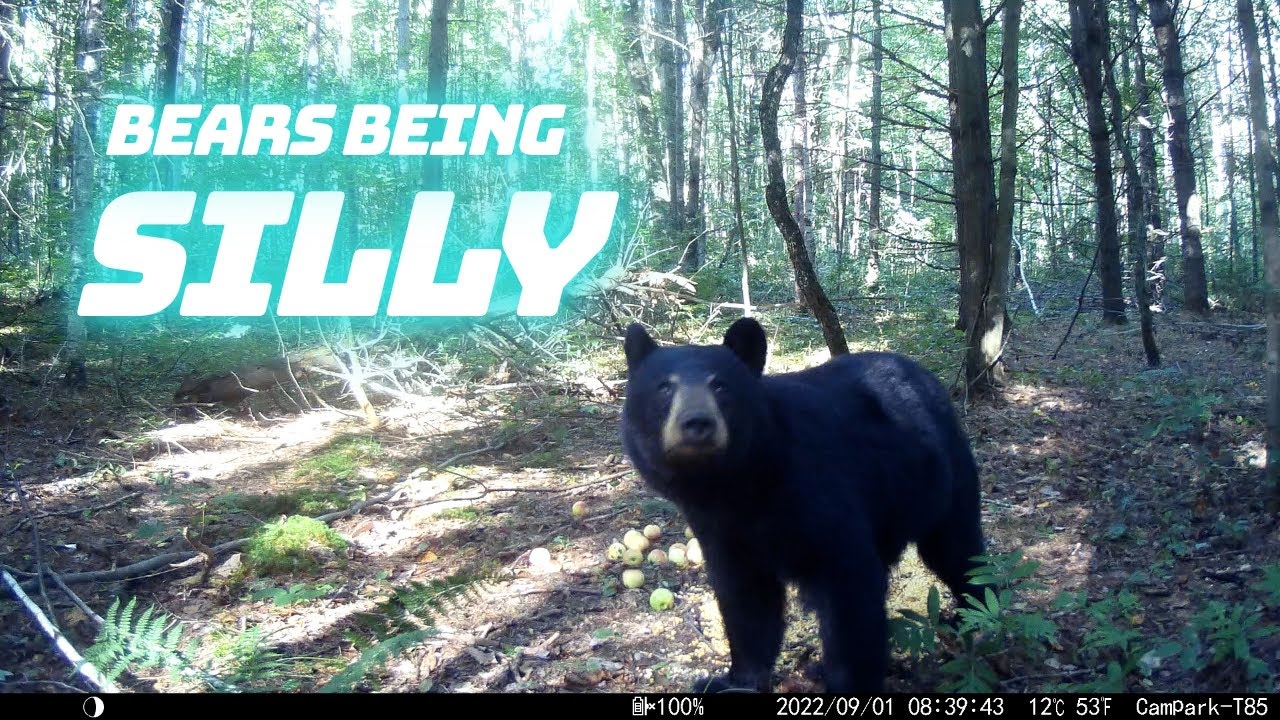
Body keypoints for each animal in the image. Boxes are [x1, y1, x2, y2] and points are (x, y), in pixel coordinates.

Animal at [619, 317, 988, 694]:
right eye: (664, 387)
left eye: (720, 385)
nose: (697, 422)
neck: (740, 485)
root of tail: (926, 376)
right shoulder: (720, 529)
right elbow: (745, 596)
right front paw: (733, 680)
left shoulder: (819, 492)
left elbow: (849, 585)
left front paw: (849, 685)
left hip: (942, 481)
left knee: (959, 552)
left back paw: (972, 617)